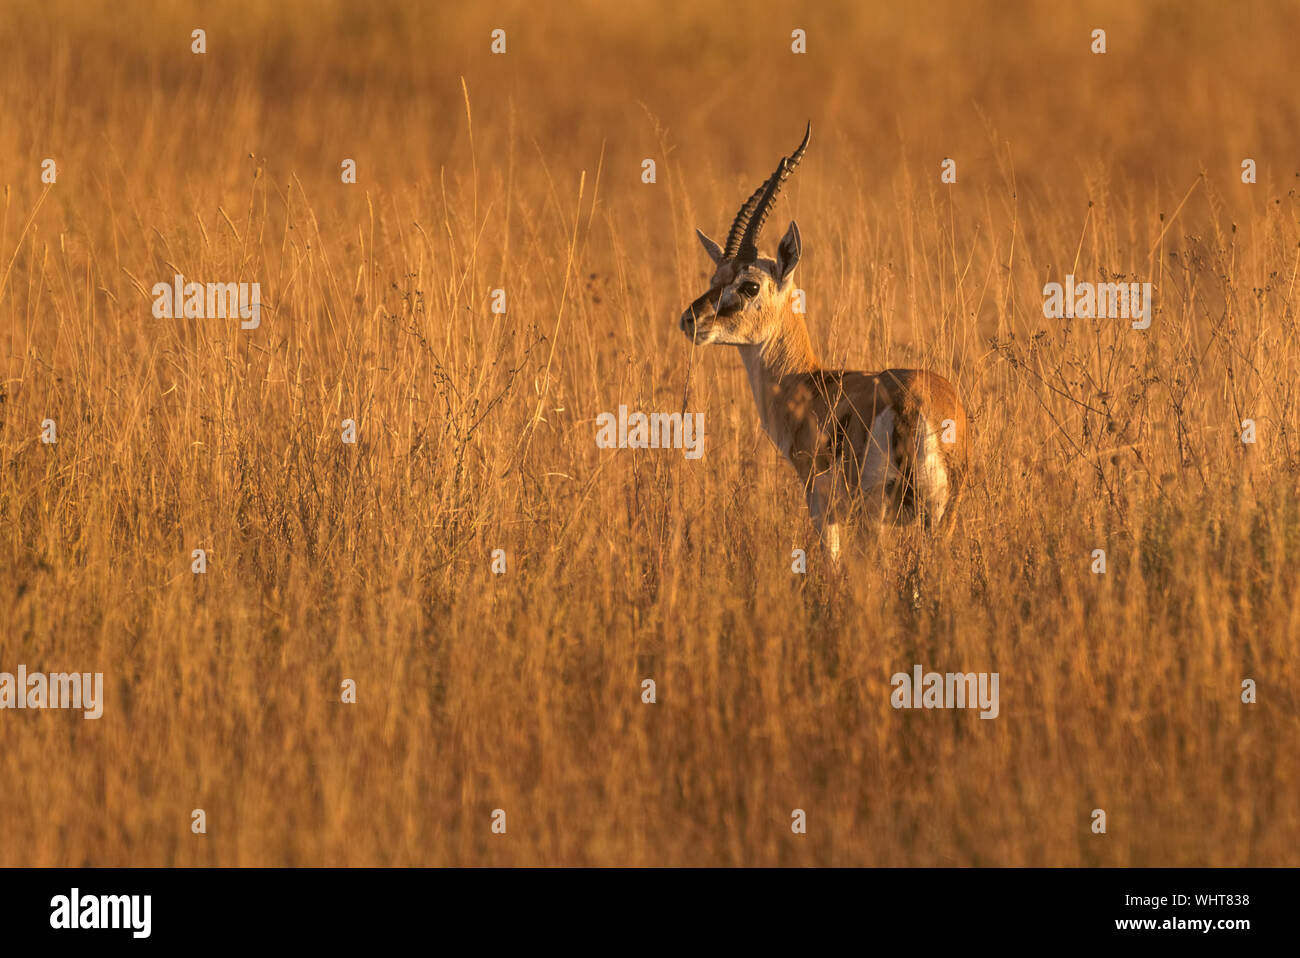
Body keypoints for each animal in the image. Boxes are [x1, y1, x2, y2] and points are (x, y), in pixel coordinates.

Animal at [679, 123, 968, 560]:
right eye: (715, 279)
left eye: (749, 285)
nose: (691, 320)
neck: (809, 384)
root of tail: (914, 401)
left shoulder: (821, 506)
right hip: (940, 520)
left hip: (875, 518)